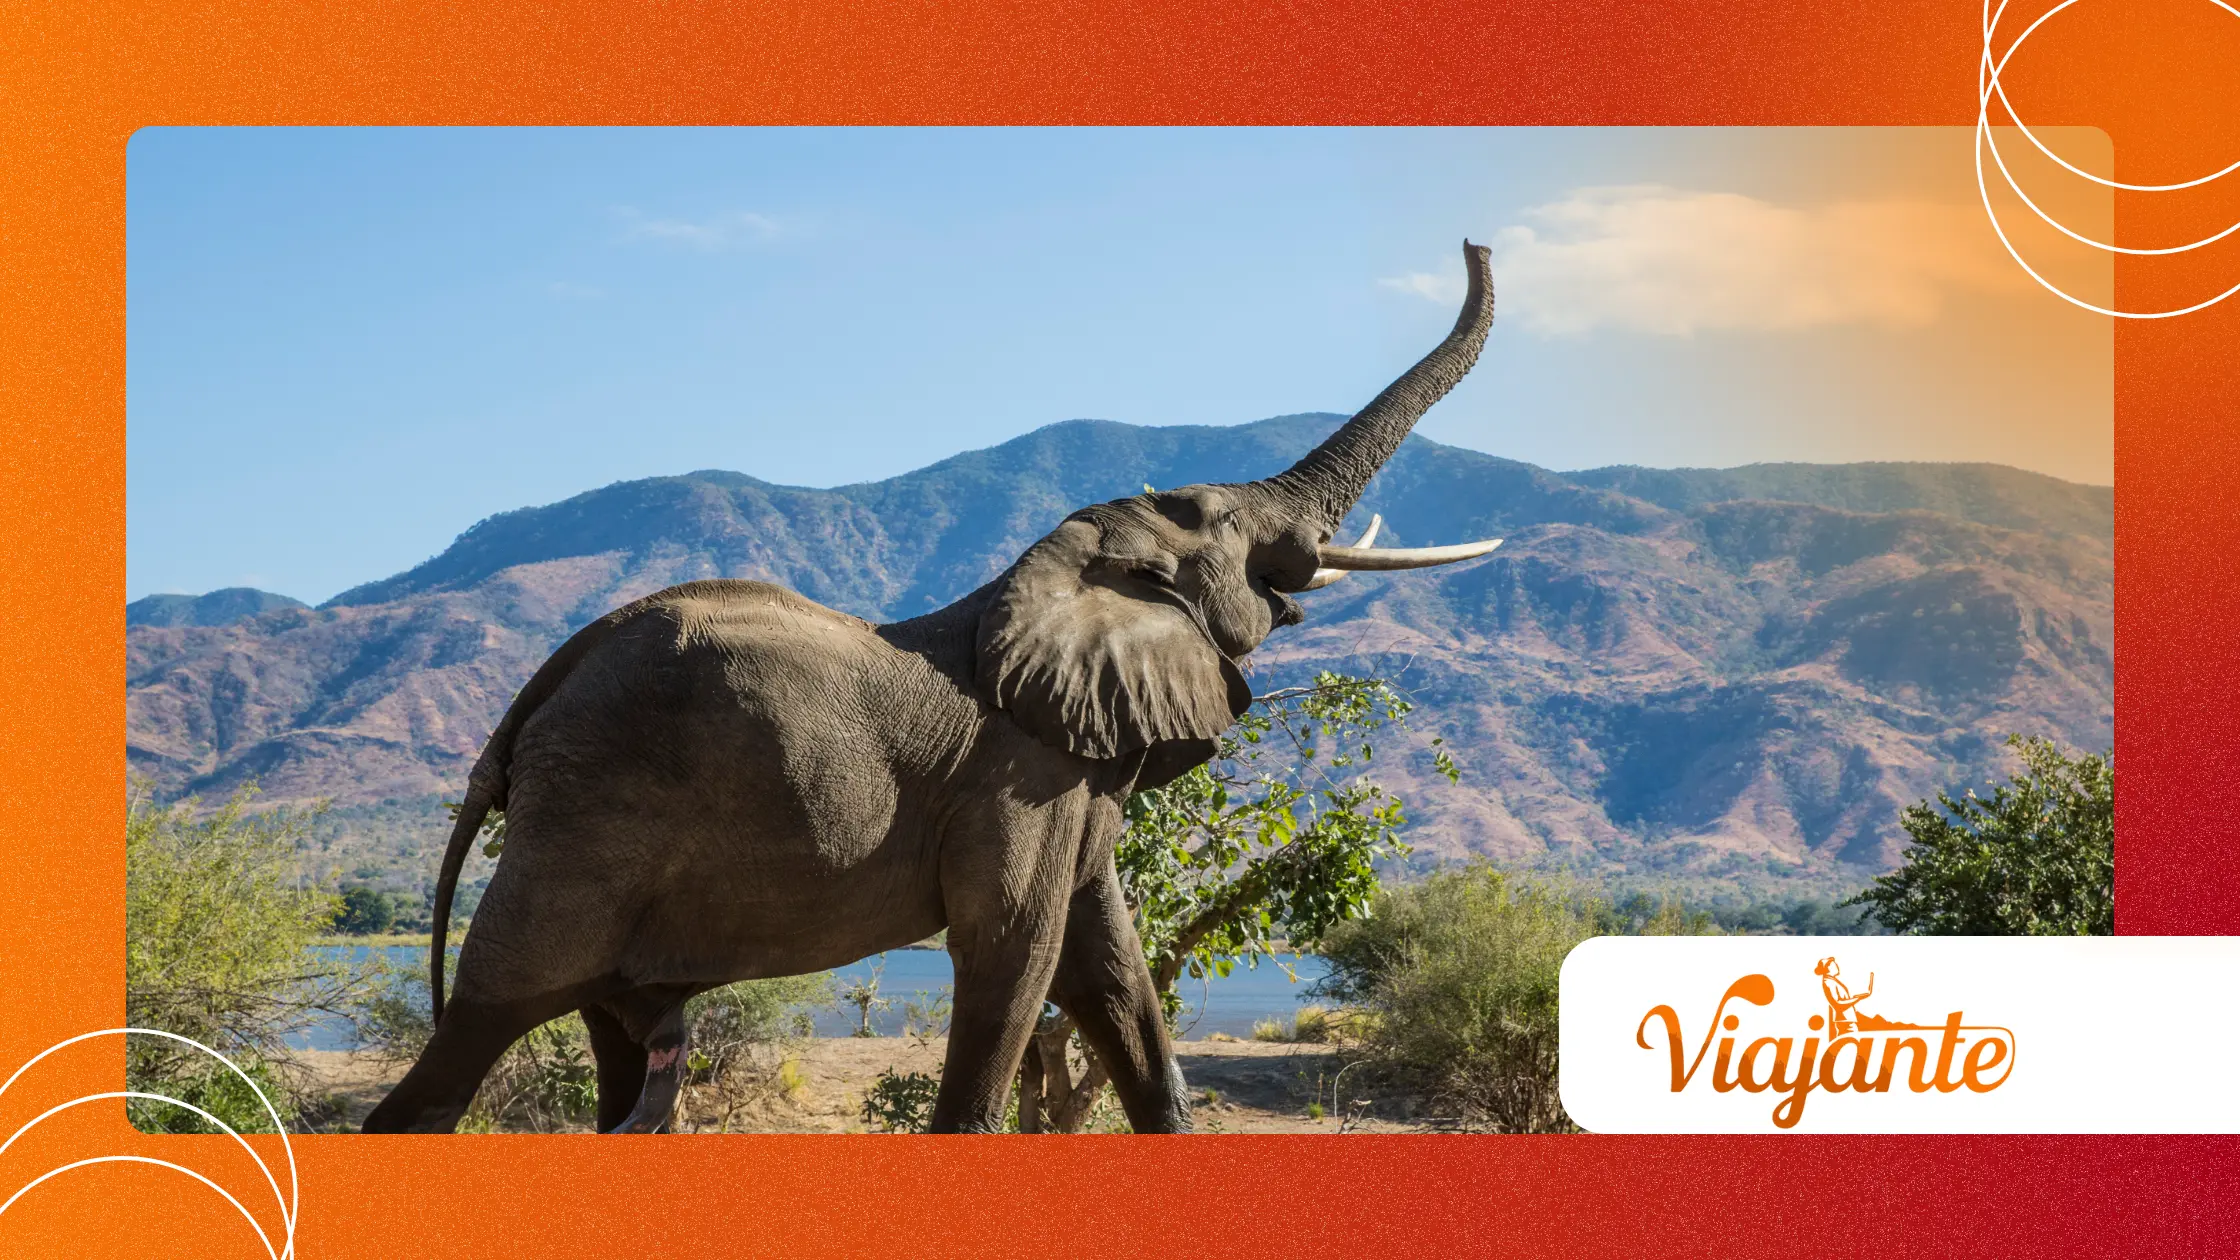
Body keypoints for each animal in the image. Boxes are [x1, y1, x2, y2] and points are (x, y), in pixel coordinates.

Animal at [362, 241, 1501, 1135]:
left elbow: (1111, 972)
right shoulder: (1019, 780)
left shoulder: (1074, 778)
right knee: (478, 1034)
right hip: (580, 835)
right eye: (1221, 521)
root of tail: (525, 710)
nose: (1476, 242)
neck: (1052, 571)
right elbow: (1013, 953)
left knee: (632, 1063)